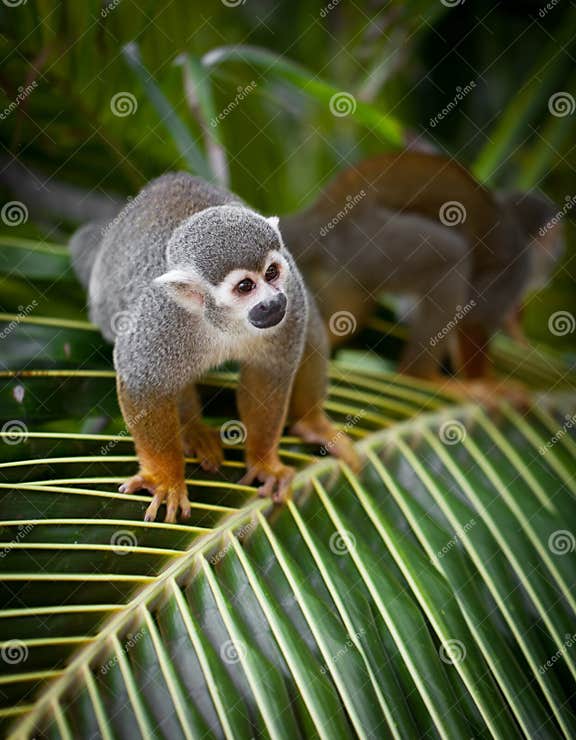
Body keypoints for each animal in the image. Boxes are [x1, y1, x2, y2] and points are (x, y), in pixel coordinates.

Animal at [69, 173, 358, 523]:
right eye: (245, 286)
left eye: (271, 273)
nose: (273, 302)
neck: (223, 321)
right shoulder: (163, 318)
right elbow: (144, 383)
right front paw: (165, 478)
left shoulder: (292, 300)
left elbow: (268, 375)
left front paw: (265, 462)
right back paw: (193, 431)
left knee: (312, 331)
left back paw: (311, 423)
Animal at [280, 150, 564, 398]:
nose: (558, 254)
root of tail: (319, 215)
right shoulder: (514, 270)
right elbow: (473, 320)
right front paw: (487, 384)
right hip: (364, 241)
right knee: (451, 255)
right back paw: (421, 376)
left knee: (349, 316)